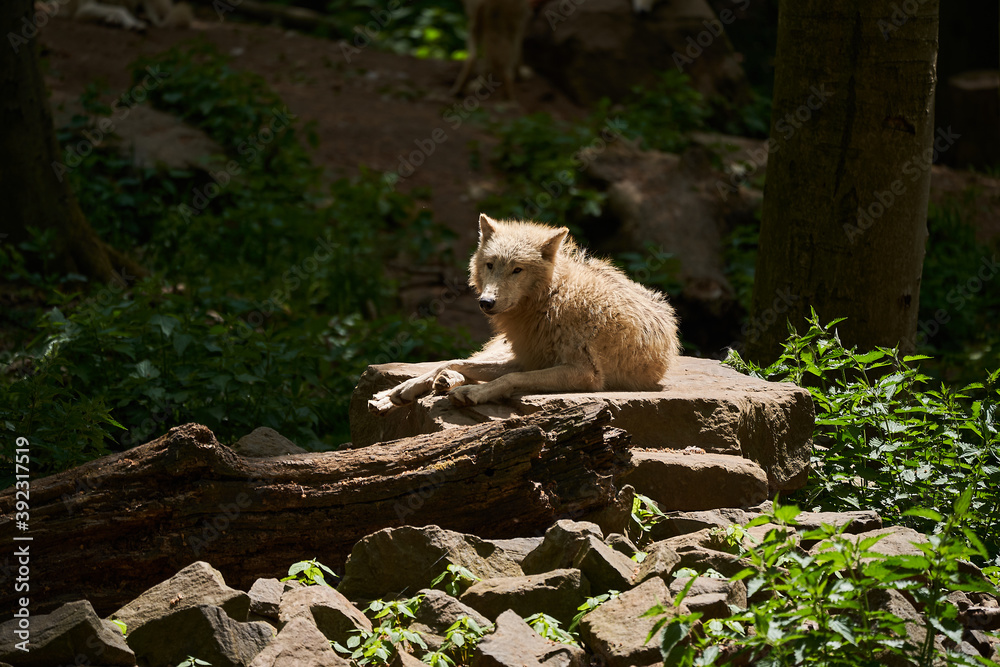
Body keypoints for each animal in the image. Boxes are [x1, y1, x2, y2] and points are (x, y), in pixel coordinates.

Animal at [369, 214, 680, 414]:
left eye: (517, 269)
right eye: (491, 265)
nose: (486, 302)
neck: (551, 299)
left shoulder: (585, 375)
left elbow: (510, 379)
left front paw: (473, 394)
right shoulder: (527, 359)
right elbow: (457, 362)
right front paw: (405, 389)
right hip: (504, 350)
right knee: (457, 362)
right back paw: (396, 393)